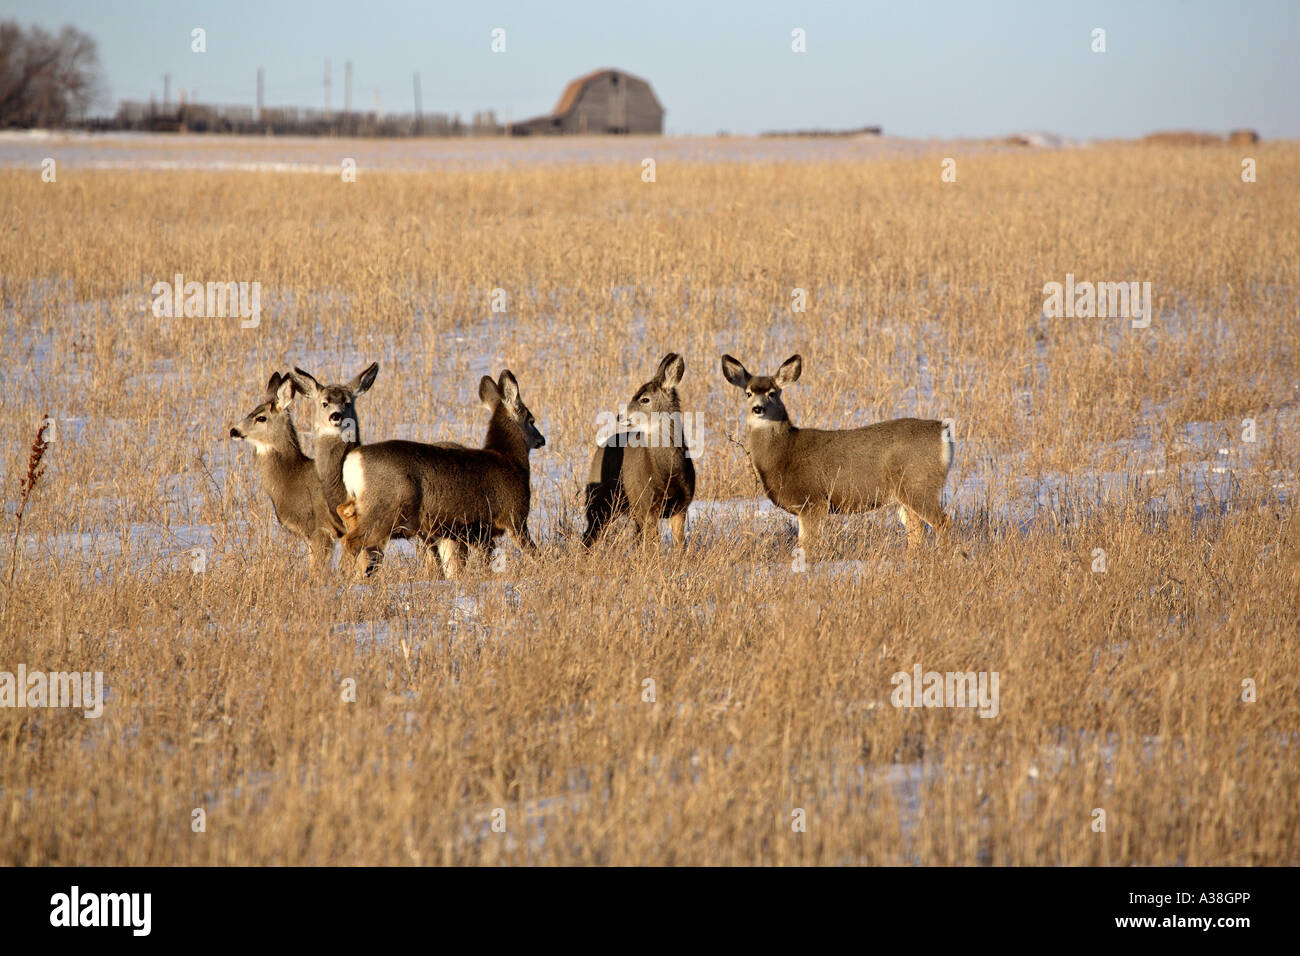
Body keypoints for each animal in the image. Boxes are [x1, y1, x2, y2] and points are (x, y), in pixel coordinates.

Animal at [335, 370, 546, 577]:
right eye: (531, 420)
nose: (542, 439)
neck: (511, 461)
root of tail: (352, 461)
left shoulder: (468, 531)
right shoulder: (513, 517)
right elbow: (531, 552)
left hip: (364, 505)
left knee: (344, 513)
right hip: (383, 508)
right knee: (350, 541)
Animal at [582, 352, 695, 550]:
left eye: (644, 399)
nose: (619, 416)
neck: (668, 471)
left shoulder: (681, 505)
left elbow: (679, 544)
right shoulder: (646, 504)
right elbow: (653, 545)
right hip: (600, 499)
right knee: (588, 534)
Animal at [720, 354, 954, 551]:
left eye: (772, 393)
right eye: (748, 393)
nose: (758, 409)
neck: (783, 454)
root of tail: (943, 431)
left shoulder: (812, 500)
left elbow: (808, 545)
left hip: (918, 483)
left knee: (943, 522)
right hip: (907, 493)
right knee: (917, 532)